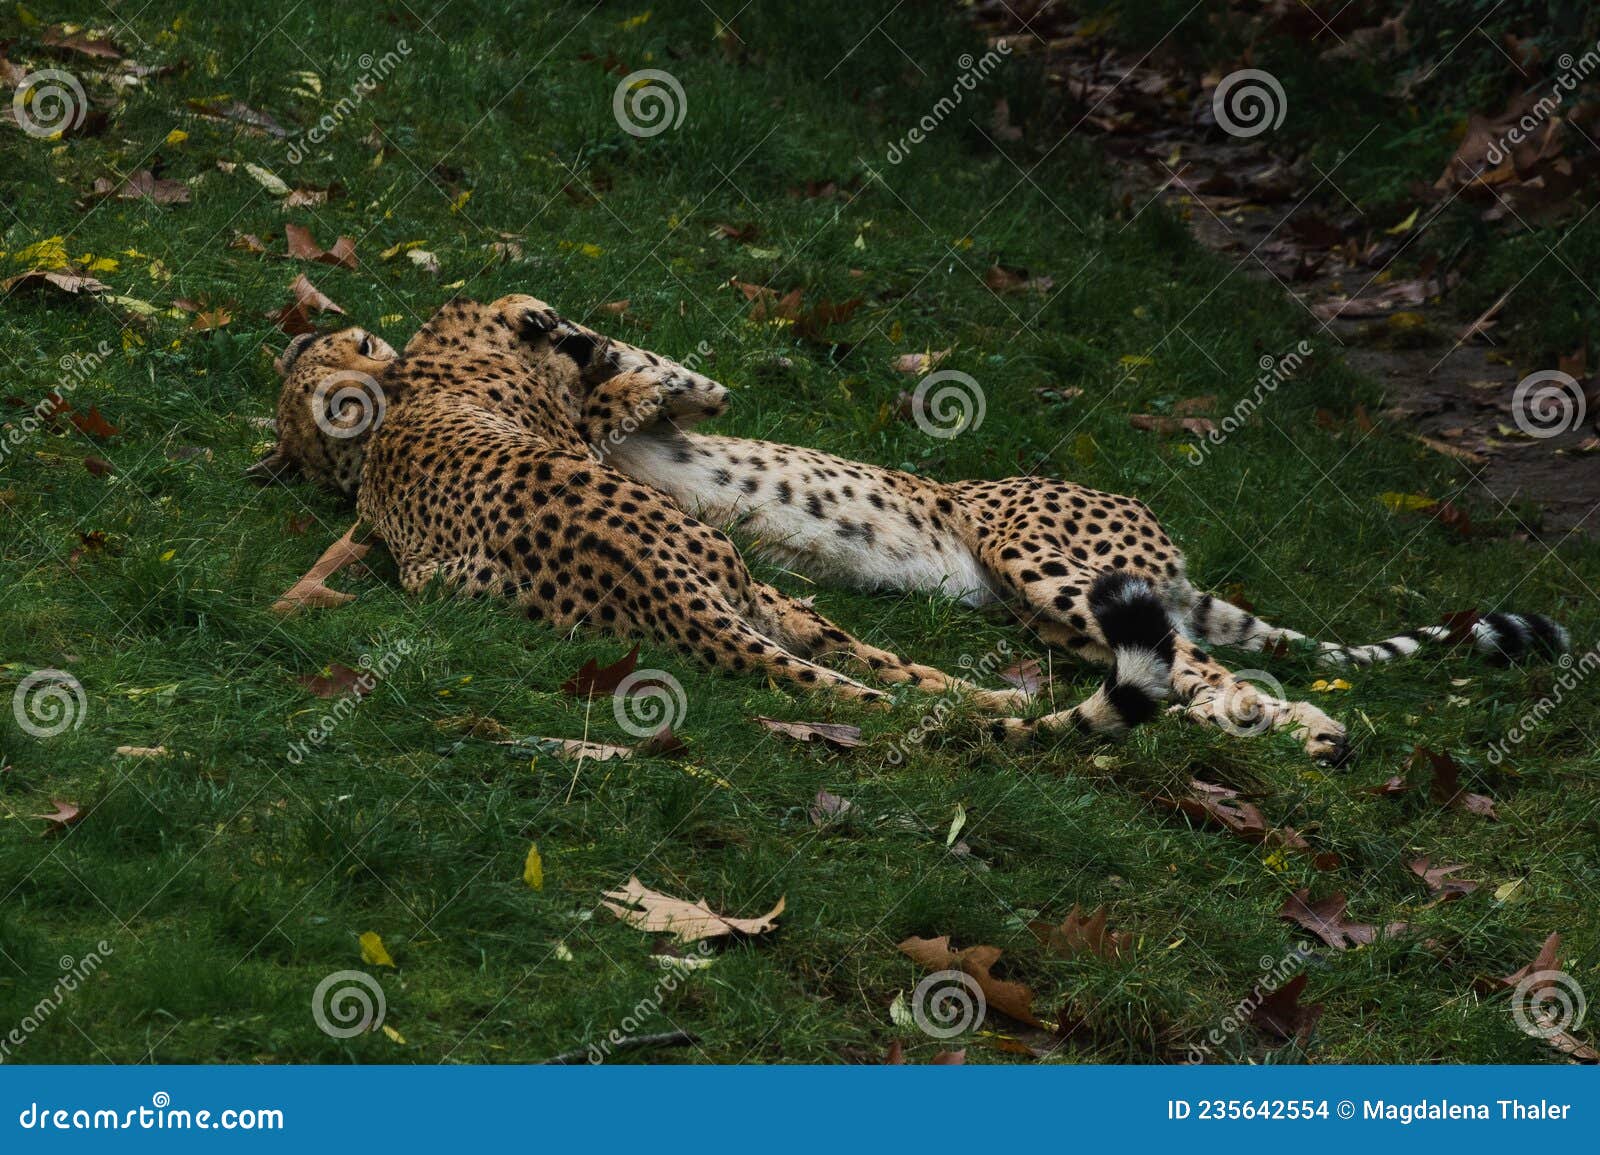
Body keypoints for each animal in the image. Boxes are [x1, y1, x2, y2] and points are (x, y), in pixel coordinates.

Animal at [248, 297, 1042, 719]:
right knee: (862, 658)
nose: (390, 364)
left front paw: (585, 344)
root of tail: (655, 581)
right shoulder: (585, 435)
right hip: (749, 585)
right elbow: (633, 390)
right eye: (343, 404)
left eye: (363, 341)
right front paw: (589, 352)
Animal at [521, 309, 1573, 766]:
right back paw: (1260, 722)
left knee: (1204, 660)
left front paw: (602, 345)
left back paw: (1299, 723)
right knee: (1184, 662)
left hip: (1042, 561)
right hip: (1059, 611)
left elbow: (661, 380)